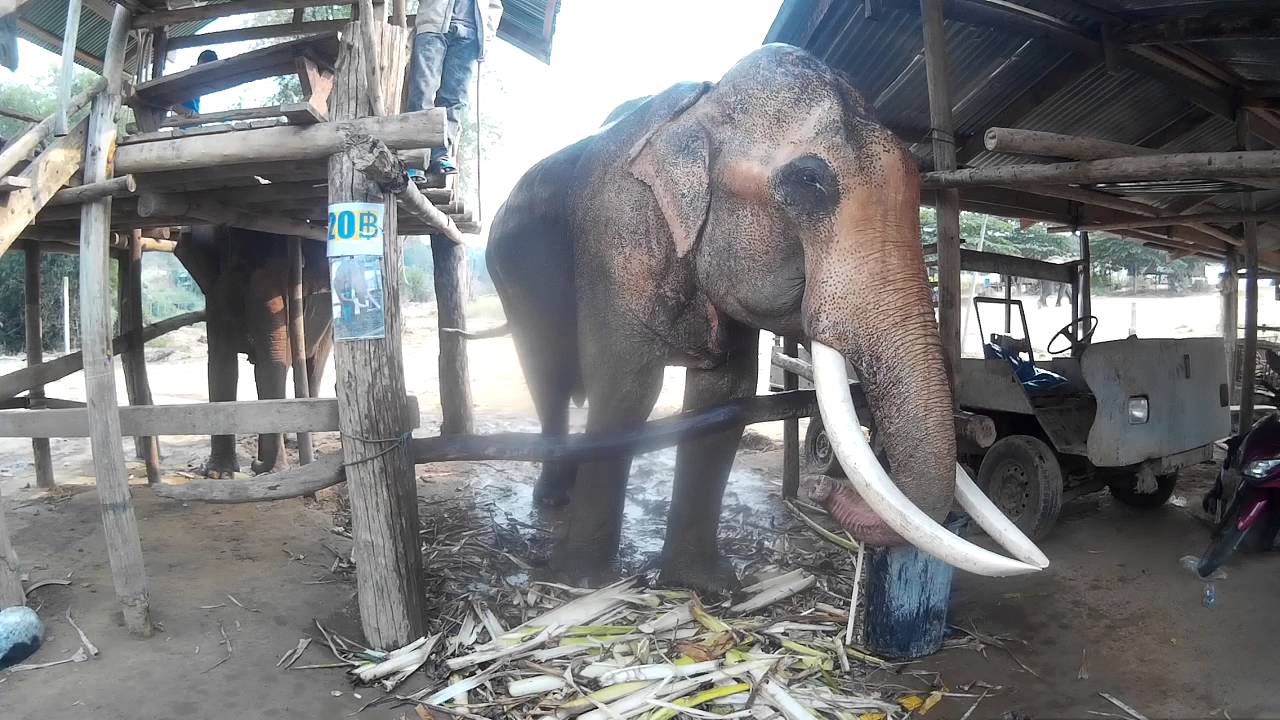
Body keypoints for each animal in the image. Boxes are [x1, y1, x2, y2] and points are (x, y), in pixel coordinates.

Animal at [175, 226, 334, 477]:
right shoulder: (217, 296)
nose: (255, 465)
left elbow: (275, 367)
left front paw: (272, 470)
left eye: (294, 276)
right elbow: (222, 366)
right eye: (242, 268)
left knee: (314, 365)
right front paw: (219, 474)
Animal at [486, 44, 1048, 590]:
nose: (822, 488)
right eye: (809, 181)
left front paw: (704, 587)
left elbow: (724, 397)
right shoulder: (617, 246)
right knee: (549, 378)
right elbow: (626, 393)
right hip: (514, 281)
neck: (704, 103)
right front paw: (583, 581)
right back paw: (554, 502)